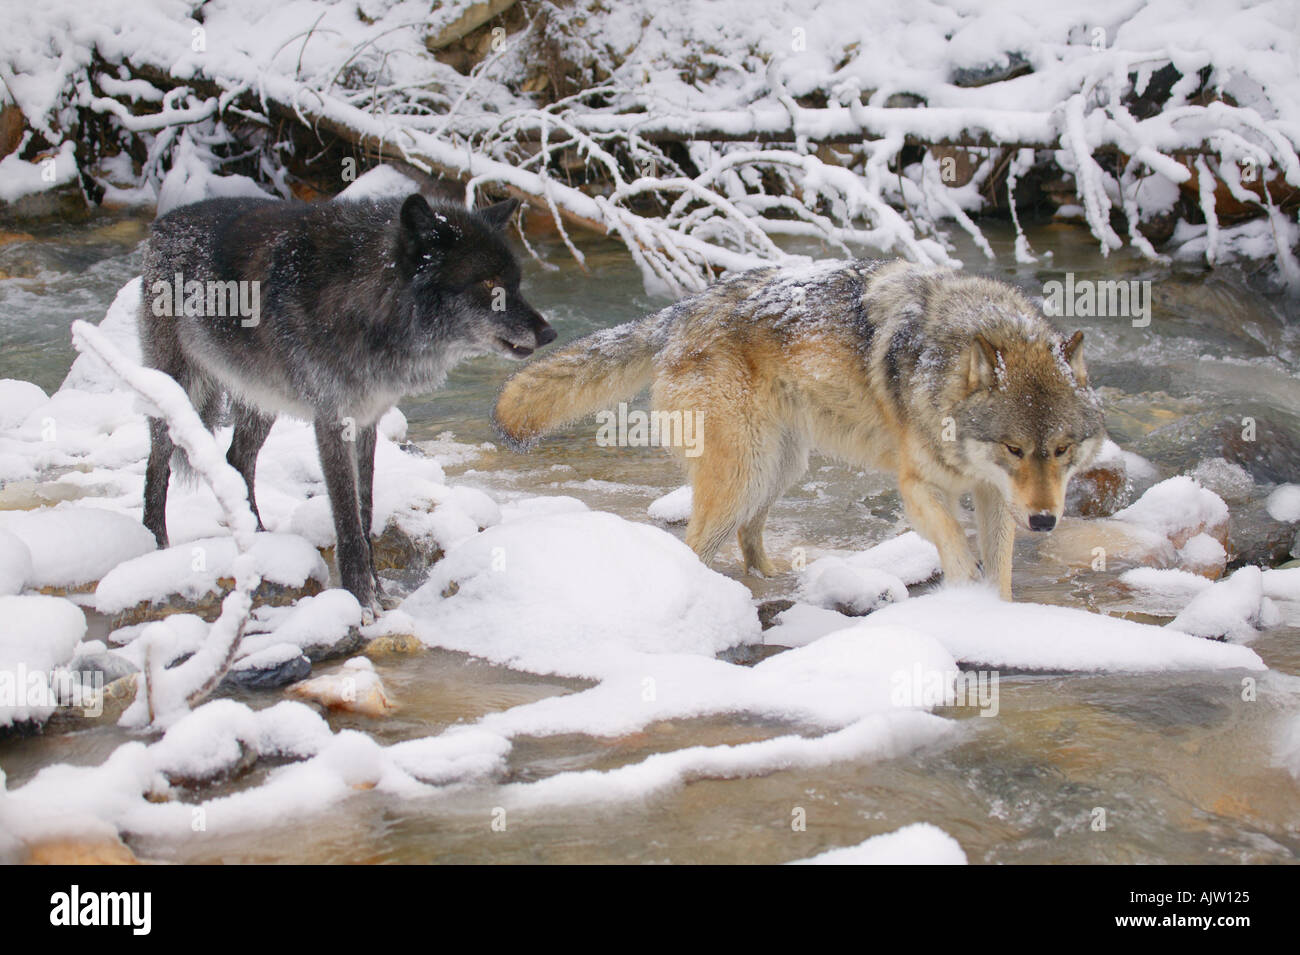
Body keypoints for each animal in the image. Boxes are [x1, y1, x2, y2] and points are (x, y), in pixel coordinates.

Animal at [139, 193, 554, 613]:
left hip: (261, 400)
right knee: (158, 468)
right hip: (178, 389)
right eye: (489, 283)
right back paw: (157, 546)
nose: (550, 333)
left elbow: (365, 507)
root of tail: (164, 224)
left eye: (517, 284)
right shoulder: (331, 421)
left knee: (238, 459)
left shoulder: (368, 419)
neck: (371, 303)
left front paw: (378, 591)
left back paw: (259, 540)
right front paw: (361, 601)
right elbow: (346, 517)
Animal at [493, 259, 1105, 599]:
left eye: (1061, 449)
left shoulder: (995, 496)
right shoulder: (919, 486)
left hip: (779, 467)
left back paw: (770, 577)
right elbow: (956, 549)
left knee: (747, 534)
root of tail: (679, 312)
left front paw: (994, 615)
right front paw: (964, 604)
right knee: (696, 543)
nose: (1045, 521)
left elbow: (1000, 569)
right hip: (745, 470)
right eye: (1014, 448)